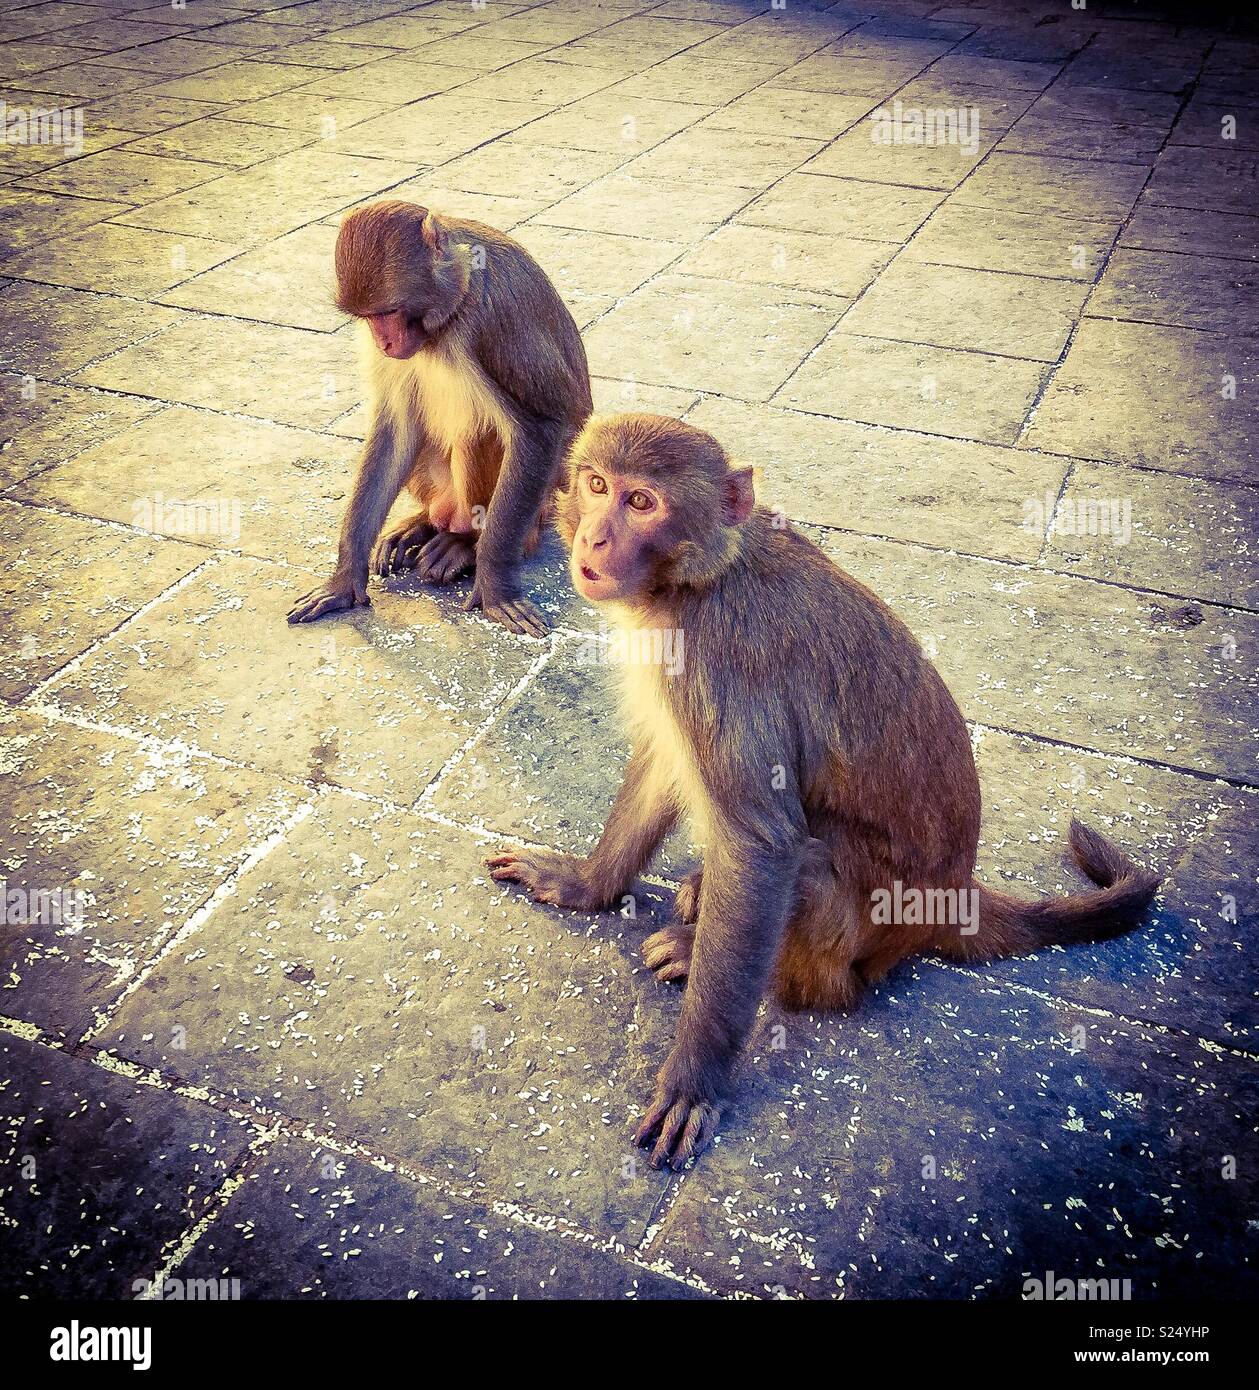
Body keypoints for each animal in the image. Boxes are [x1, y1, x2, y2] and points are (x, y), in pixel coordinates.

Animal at [287, 200, 592, 636]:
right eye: (368, 317)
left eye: (390, 311)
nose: (384, 341)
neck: (455, 297)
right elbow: (396, 428)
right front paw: (343, 581)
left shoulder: (493, 316)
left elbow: (540, 426)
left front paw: (496, 587)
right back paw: (423, 525)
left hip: (529, 514)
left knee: (483, 435)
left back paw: (462, 545)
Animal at [486, 413, 1161, 1170]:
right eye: (598, 485)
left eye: (641, 503)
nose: (593, 538)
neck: (695, 580)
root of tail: (954, 892)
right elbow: (668, 763)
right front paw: (585, 883)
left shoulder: (715, 659)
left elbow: (759, 843)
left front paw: (695, 1079)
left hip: (862, 931)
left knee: (811, 889)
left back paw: (725, 956)